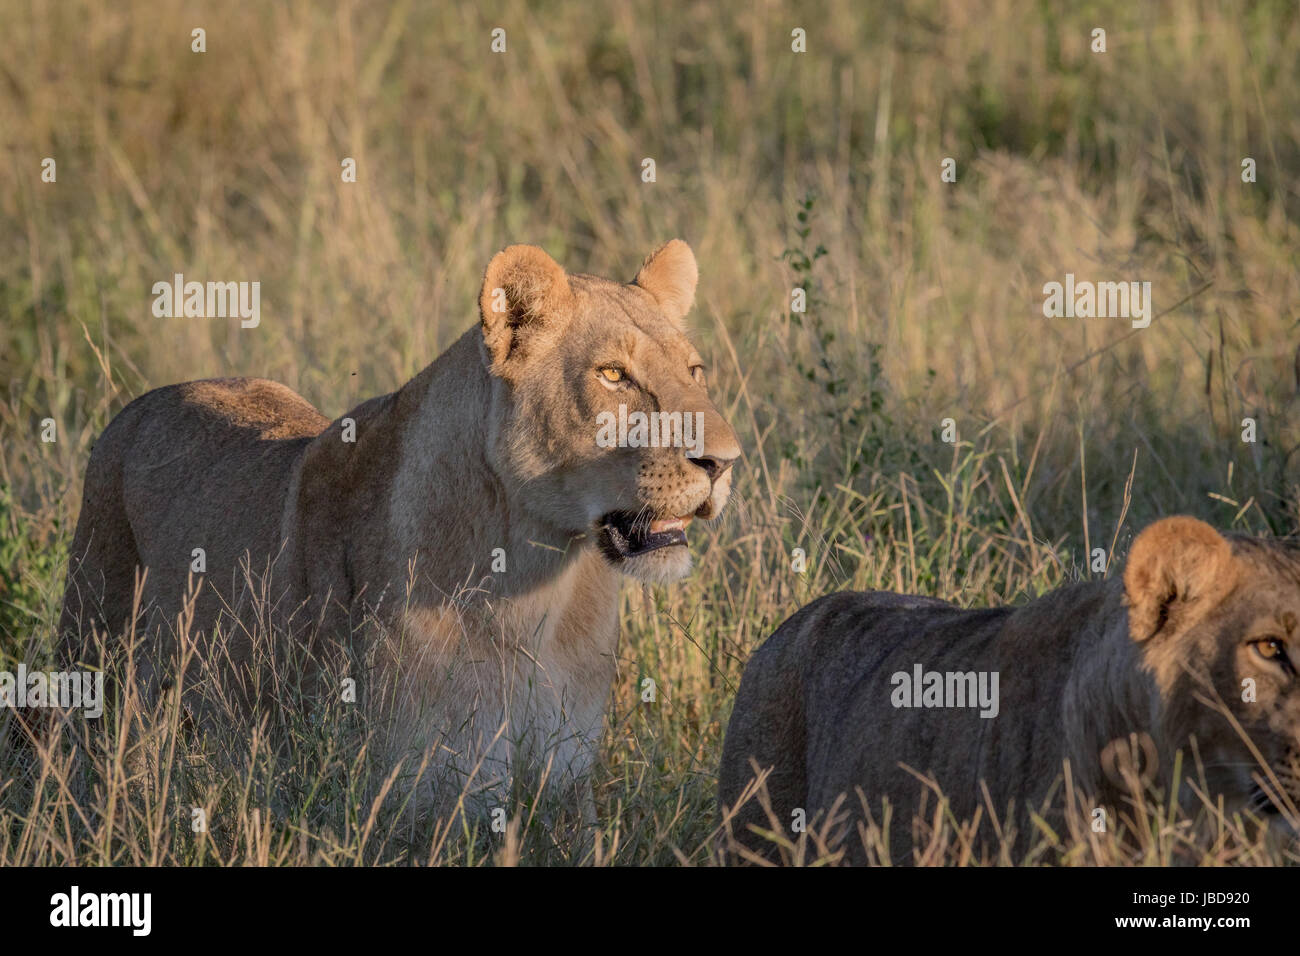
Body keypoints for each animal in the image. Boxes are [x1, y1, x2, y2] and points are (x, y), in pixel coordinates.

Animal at [59, 240, 739, 826]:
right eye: (613, 376)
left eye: (696, 370)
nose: (725, 462)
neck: (536, 580)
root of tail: (140, 403)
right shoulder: (413, 800)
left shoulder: (567, 788)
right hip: (91, 659)